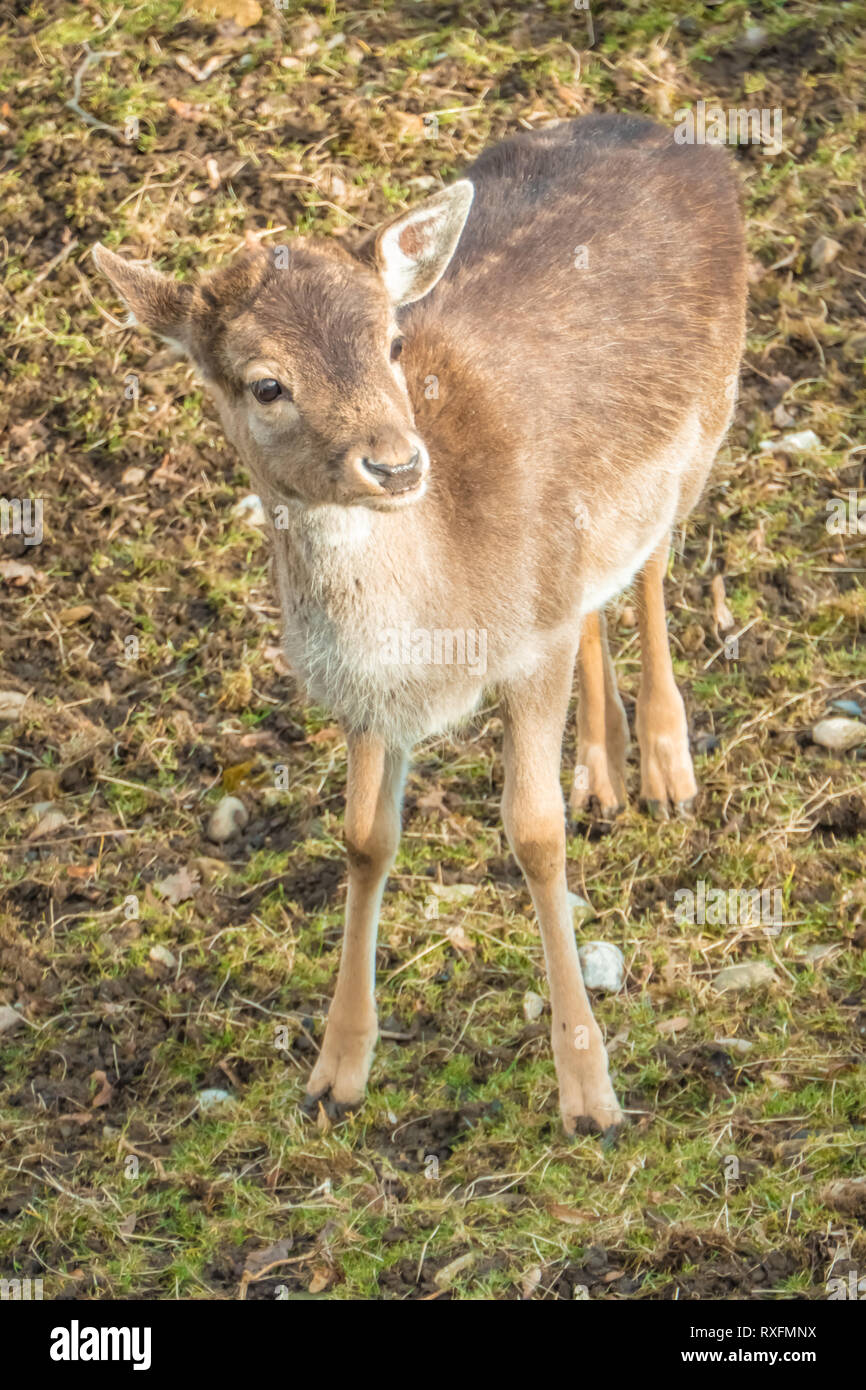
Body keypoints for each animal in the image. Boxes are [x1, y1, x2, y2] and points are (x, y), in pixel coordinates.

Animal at [93, 114, 747, 1137]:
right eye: (265, 384)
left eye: (393, 341)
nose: (398, 464)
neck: (437, 621)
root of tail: (674, 129)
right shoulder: (368, 697)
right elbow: (364, 839)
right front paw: (335, 1075)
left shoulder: (530, 645)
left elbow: (534, 834)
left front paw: (590, 1096)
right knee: (601, 582)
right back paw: (602, 773)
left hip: (707, 423)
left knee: (652, 560)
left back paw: (665, 770)